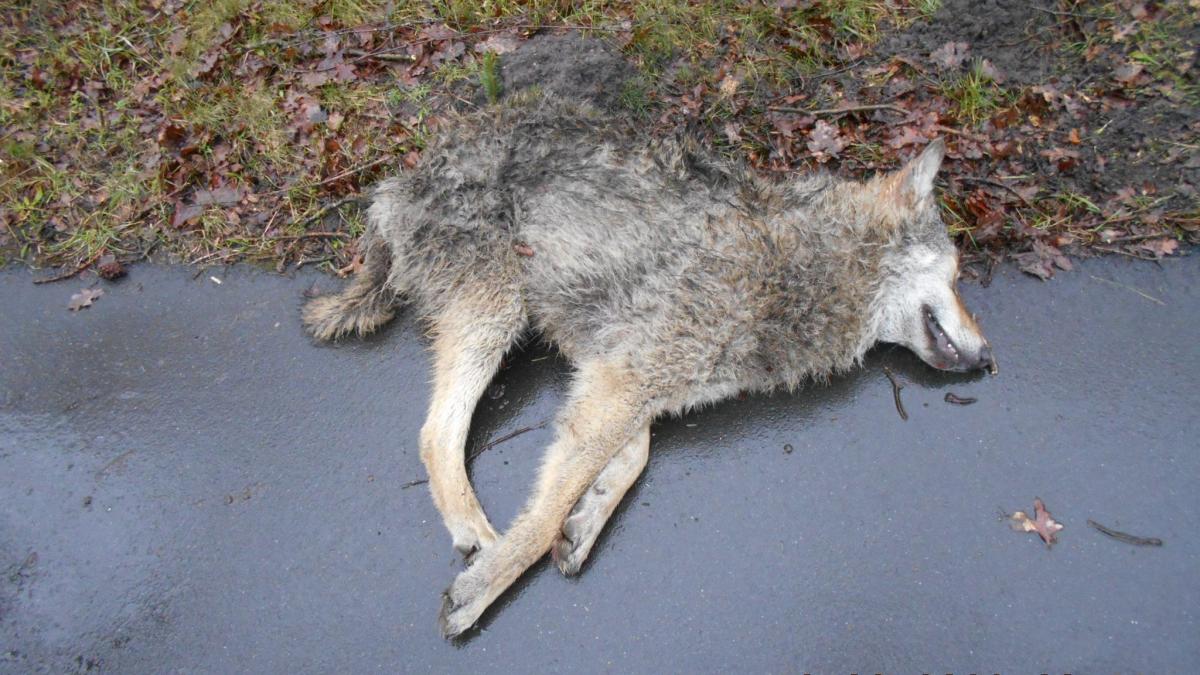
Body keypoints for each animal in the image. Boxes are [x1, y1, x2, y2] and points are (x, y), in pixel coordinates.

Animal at [302, 93, 996, 638]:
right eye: (959, 276)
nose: (991, 358)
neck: (817, 258)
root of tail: (398, 184)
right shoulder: (627, 376)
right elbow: (548, 509)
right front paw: (487, 585)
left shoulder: (613, 366)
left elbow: (631, 457)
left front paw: (586, 520)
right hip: (498, 311)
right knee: (434, 433)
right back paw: (477, 535)